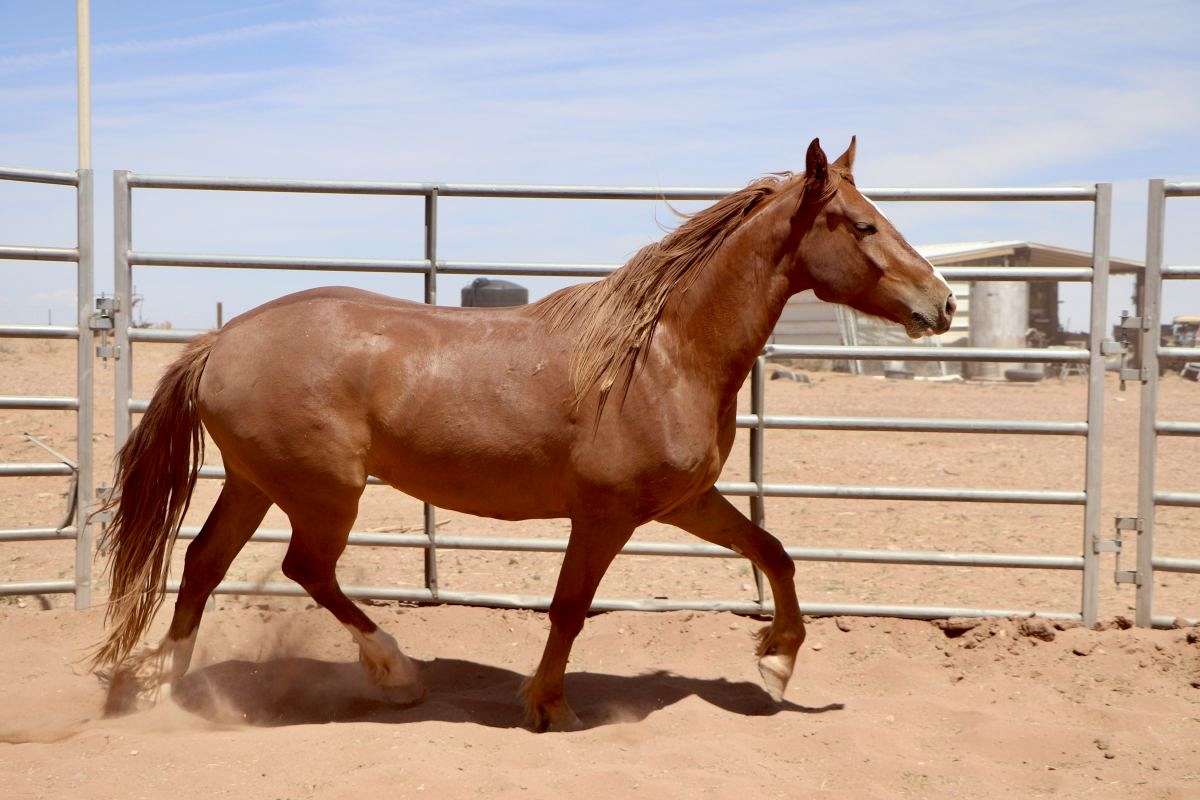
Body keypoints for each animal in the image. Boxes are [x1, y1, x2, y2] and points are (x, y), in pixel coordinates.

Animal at [93, 137, 954, 731]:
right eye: (862, 225)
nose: (941, 303)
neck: (664, 353)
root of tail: (222, 340)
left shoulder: (686, 502)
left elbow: (774, 552)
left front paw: (775, 664)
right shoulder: (605, 514)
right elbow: (570, 608)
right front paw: (547, 705)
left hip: (256, 484)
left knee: (203, 565)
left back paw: (174, 690)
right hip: (321, 492)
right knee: (305, 568)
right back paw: (395, 673)